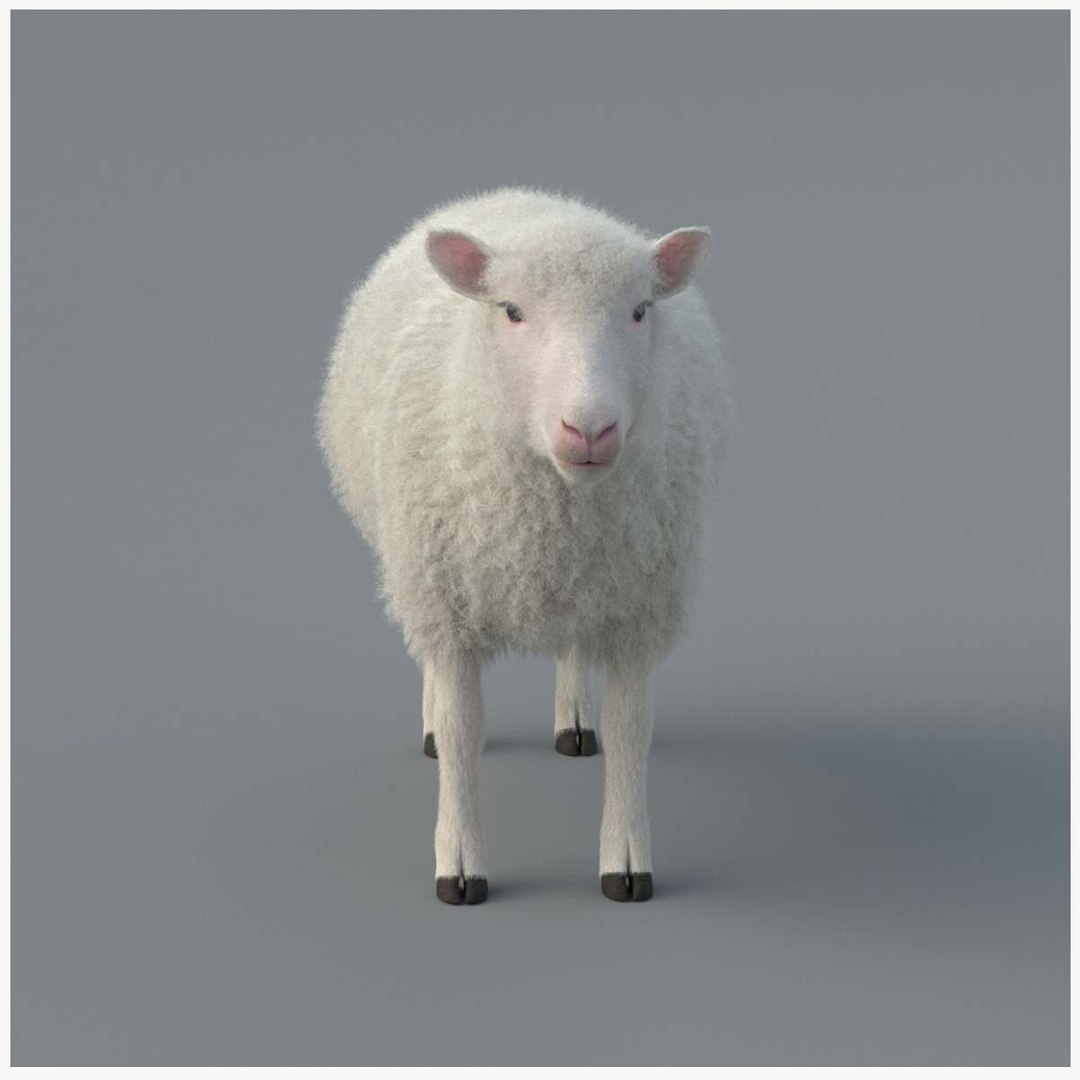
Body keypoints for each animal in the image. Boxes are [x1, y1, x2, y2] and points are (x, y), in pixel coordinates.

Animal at [317, 186, 731, 904]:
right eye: (510, 311)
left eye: (640, 310)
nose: (589, 429)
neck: (557, 509)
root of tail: (524, 197)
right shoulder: (448, 601)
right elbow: (463, 730)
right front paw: (459, 863)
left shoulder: (636, 609)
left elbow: (631, 731)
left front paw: (626, 859)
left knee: (572, 648)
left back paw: (574, 719)